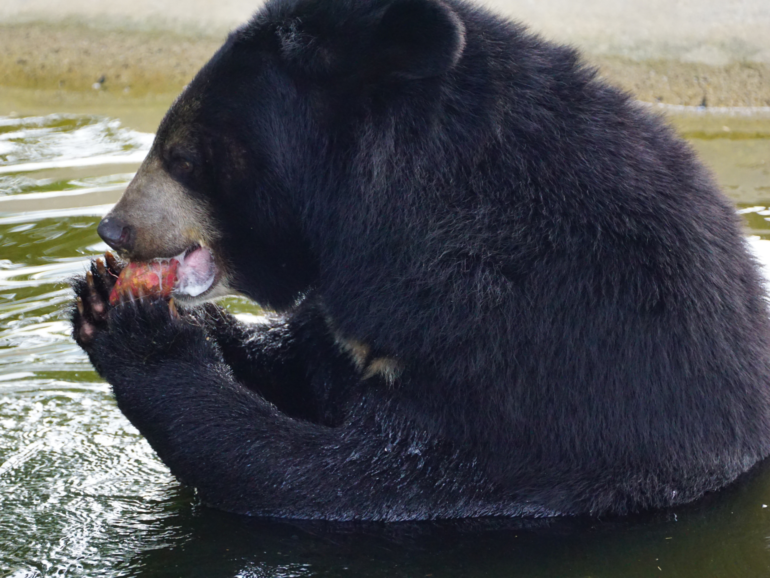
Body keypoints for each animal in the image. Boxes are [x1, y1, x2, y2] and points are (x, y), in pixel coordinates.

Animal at [71, 0, 770, 521]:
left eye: (183, 155)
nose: (114, 228)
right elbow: (306, 362)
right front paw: (108, 296)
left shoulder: (536, 347)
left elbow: (363, 479)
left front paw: (144, 336)